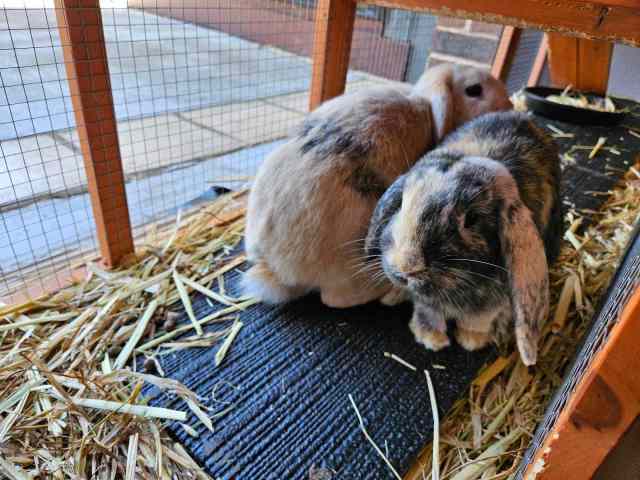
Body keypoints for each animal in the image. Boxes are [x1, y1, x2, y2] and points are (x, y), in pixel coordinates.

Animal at [365, 111, 563, 366]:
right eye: (401, 203)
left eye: (471, 219)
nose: (406, 267)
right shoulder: (425, 301)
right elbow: (427, 310)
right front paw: (430, 338)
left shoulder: (491, 304)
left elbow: (478, 319)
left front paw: (471, 341)